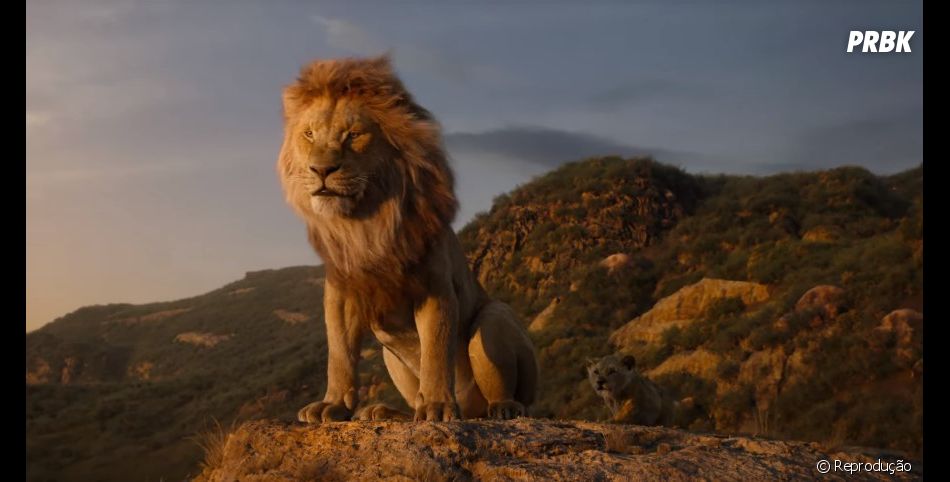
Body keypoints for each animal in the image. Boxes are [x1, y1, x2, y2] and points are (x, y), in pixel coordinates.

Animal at [277, 55, 539, 422]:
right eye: (309, 134)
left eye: (354, 135)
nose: (321, 170)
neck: (366, 223)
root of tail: (472, 411)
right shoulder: (340, 293)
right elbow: (340, 354)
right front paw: (333, 405)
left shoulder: (435, 288)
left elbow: (435, 351)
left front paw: (437, 407)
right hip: (391, 356)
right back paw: (385, 412)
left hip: (495, 317)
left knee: (513, 394)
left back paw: (503, 408)